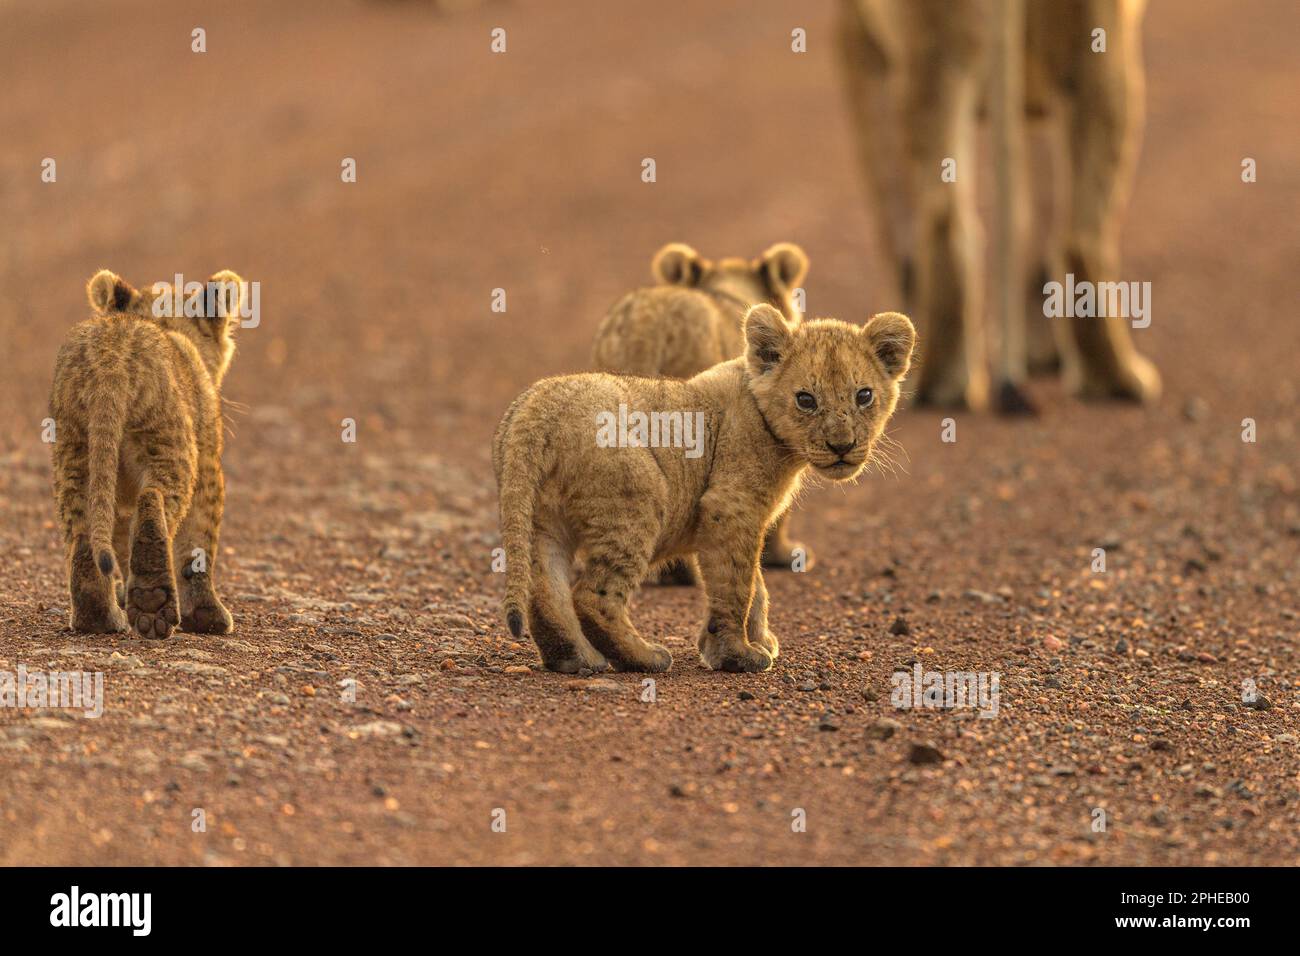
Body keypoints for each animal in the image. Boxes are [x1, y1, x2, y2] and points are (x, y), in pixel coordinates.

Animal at [49, 269, 245, 639]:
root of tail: (110, 362)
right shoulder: (209, 464)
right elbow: (198, 545)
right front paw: (208, 616)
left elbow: (119, 539)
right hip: (169, 441)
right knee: (153, 502)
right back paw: (154, 605)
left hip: (75, 447)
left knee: (84, 530)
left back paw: (101, 617)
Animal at [494, 304, 916, 674]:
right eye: (806, 399)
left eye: (864, 395)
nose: (841, 446)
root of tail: (538, 405)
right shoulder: (729, 506)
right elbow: (737, 586)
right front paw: (736, 655)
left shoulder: (725, 519)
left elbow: (755, 586)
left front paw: (755, 641)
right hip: (638, 503)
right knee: (592, 597)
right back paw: (643, 657)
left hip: (540, 519)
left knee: (544, 590)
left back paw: (574, 658)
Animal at [837, 0, 1160, 411]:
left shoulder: (858, 42)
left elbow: (895, 227)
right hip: (1096, 41)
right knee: (1078, 235)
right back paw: (1115, 380)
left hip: (934, 52)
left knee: (942, 219)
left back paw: (936, 382)